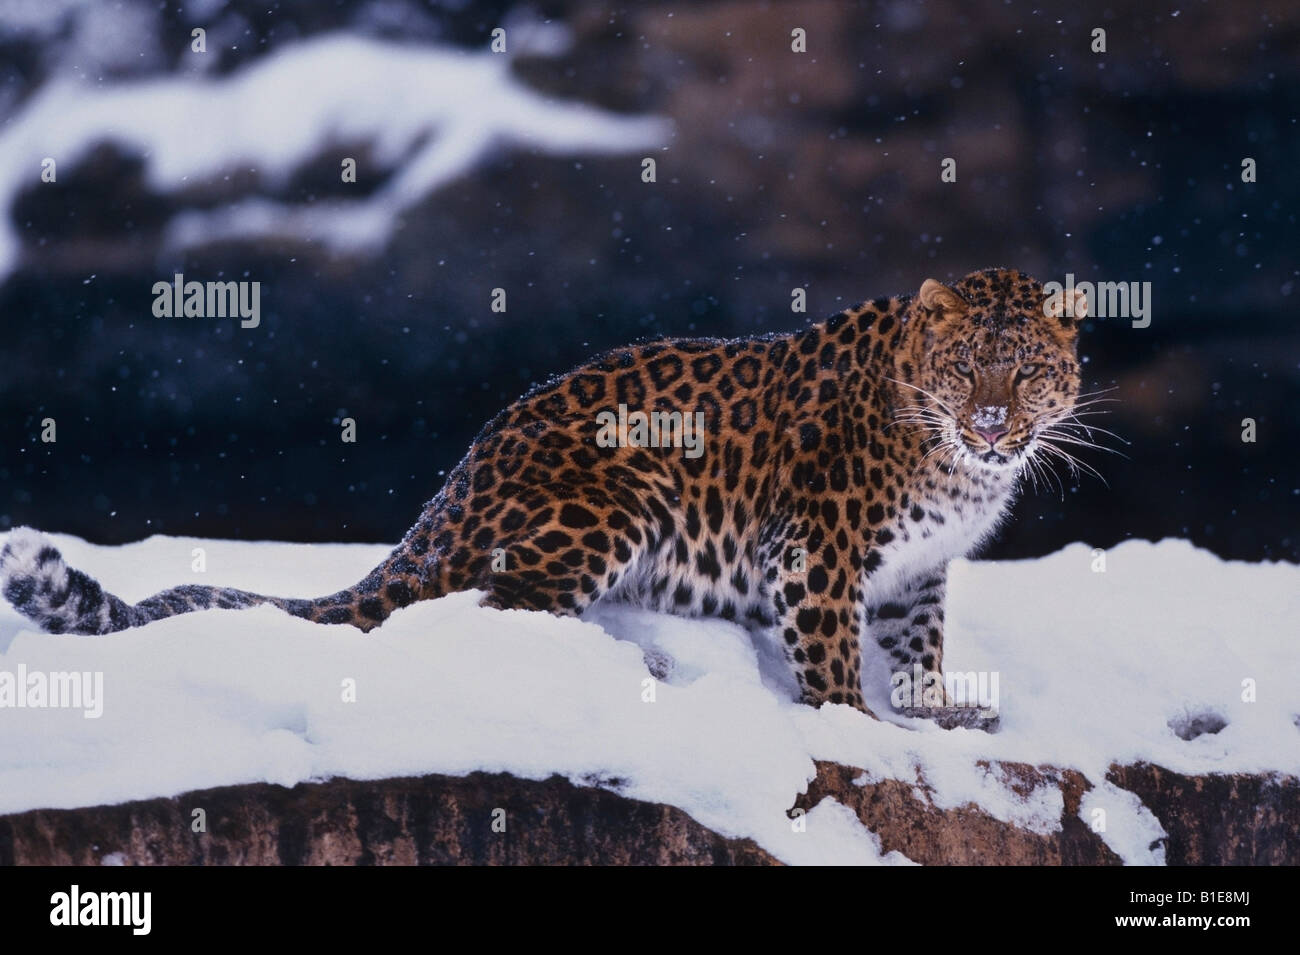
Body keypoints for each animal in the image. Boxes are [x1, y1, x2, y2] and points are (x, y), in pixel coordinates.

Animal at [0, 267, 1093, 729]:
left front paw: (937, 713)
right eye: (967, 369)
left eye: (1029, 371)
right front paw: (853, 727)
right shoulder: (817, 548)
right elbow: (827, 654)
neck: (959, 465)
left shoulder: (916, 570)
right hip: (616, 490)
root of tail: (448, 493)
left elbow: (919, 647)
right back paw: (631, 659)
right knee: (499, 602)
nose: (993, 424)